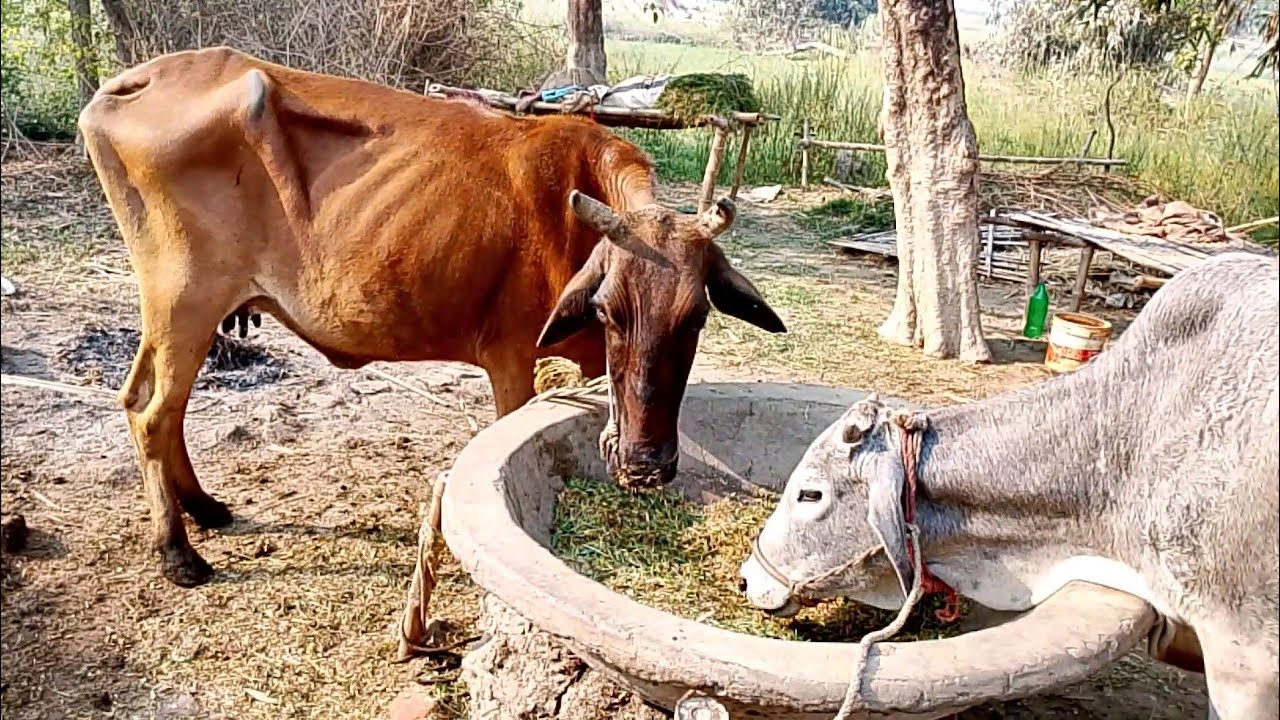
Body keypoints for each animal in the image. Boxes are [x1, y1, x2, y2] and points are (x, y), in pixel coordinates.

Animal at [78, 47, 786, 588]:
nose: (646, 464)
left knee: (155, 404)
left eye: (696, 317)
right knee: (151, 411)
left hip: (180, 313)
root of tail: (133, 82)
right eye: (610, 311)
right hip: (184, 300)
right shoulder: (512, 357)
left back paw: (204, 508)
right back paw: (178, 553)